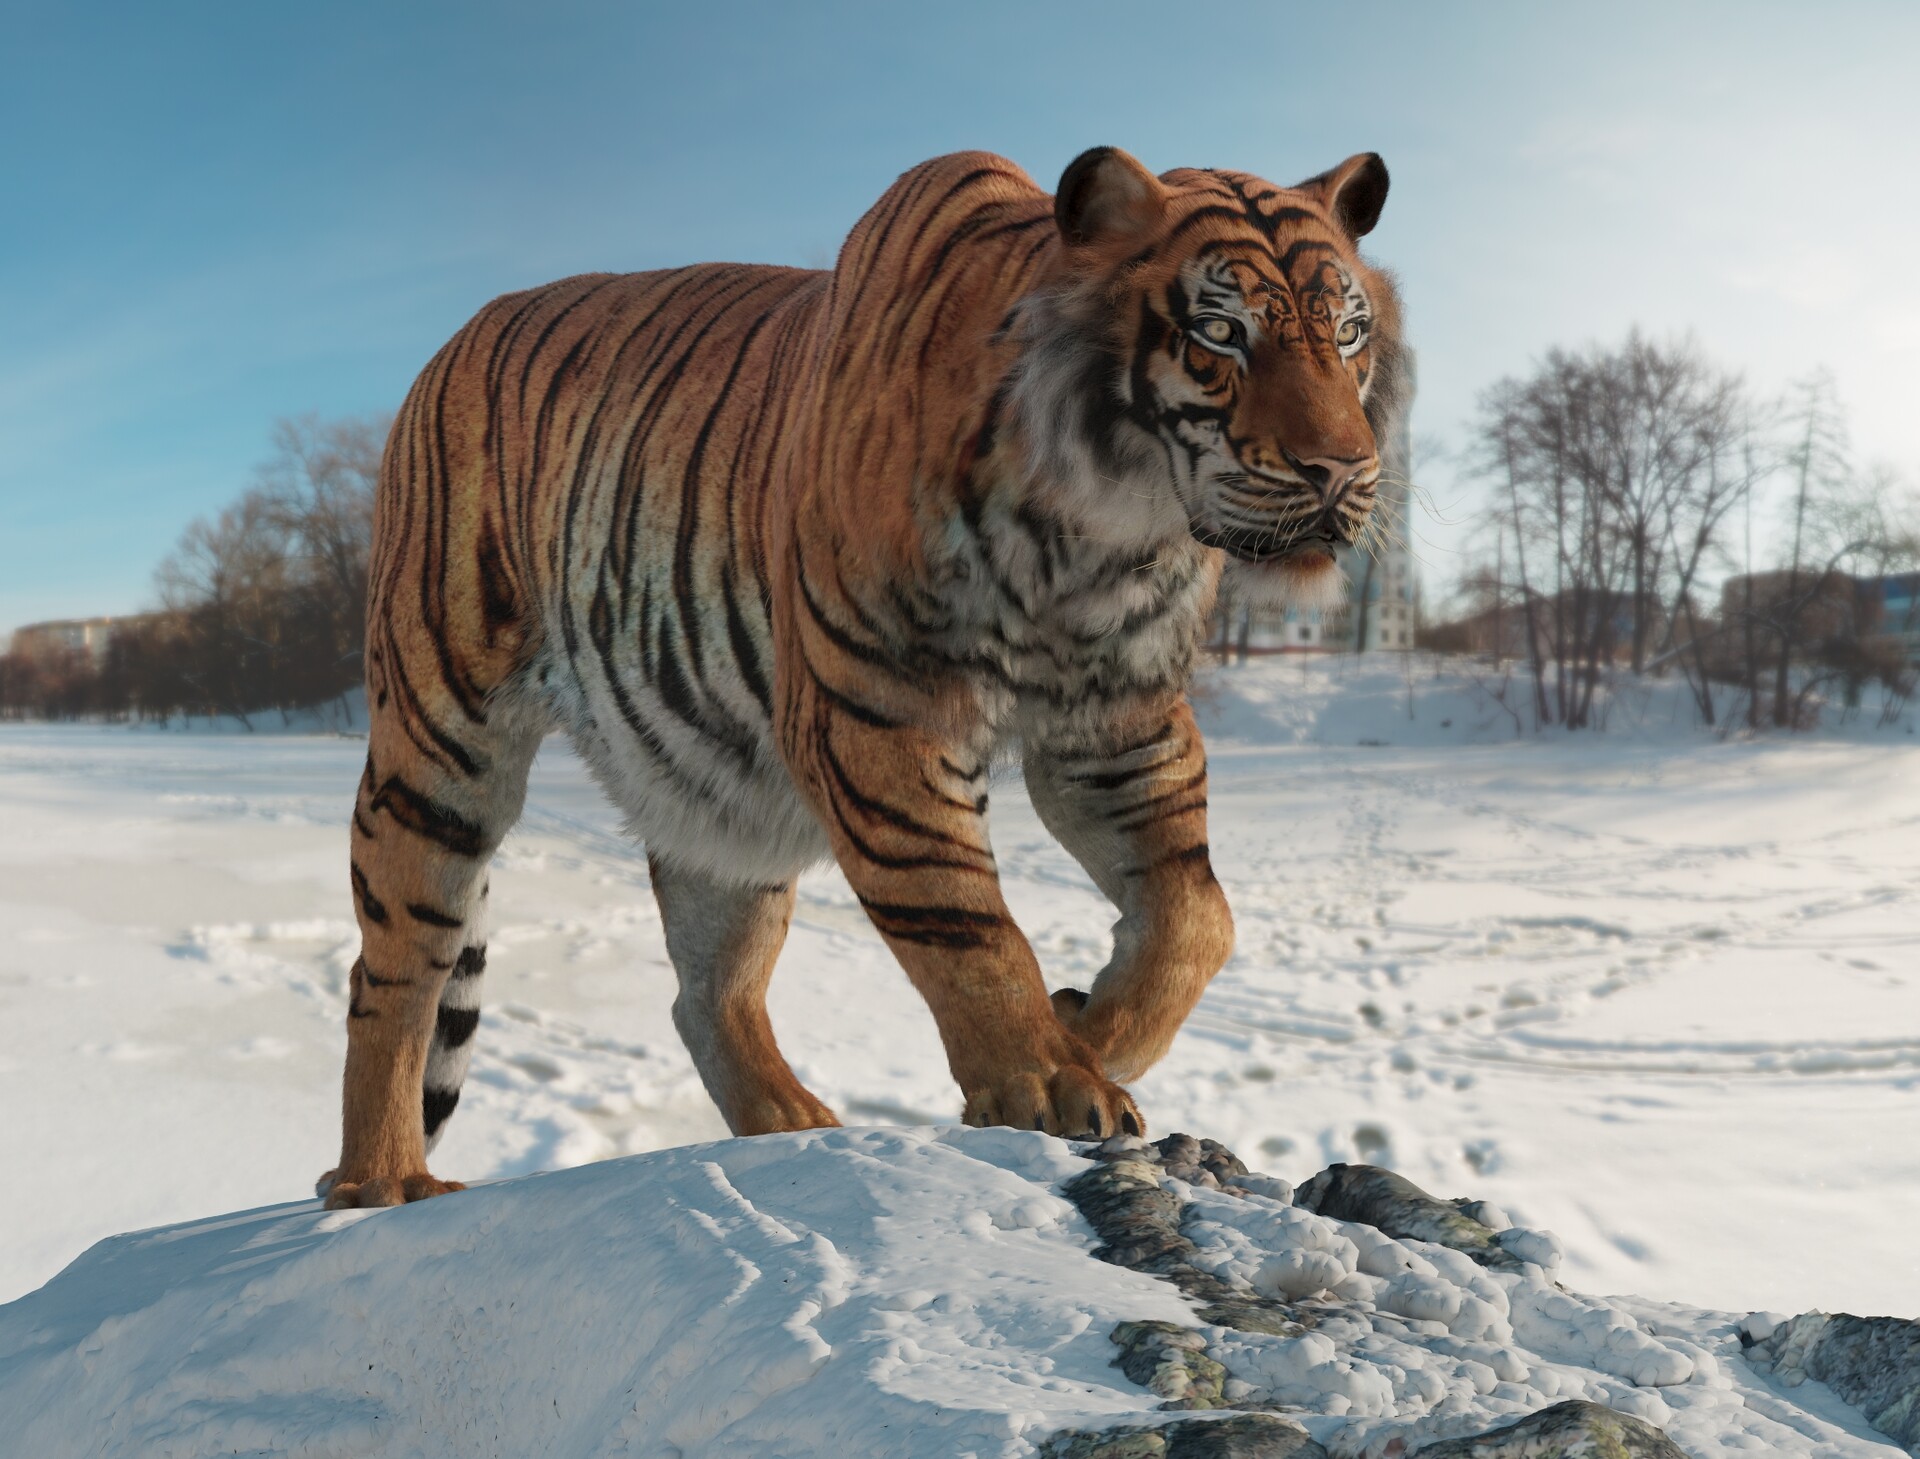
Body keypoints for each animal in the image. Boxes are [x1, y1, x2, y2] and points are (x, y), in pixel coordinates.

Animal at [319, 145, 1406, 1208]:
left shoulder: (1118, 724)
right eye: (1221, 333)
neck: (1103, 536)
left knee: (705, 992)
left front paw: (1090, 1029)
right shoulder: (881, 716)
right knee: (394, 974)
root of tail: (454, 339)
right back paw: (386, 1179)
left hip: (723, 791)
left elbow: (1196, 917)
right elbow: (967, 924)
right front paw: (1049, 1076)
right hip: (439, 745)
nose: (1343, 472)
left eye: (1349, 334)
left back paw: (796, 1128)